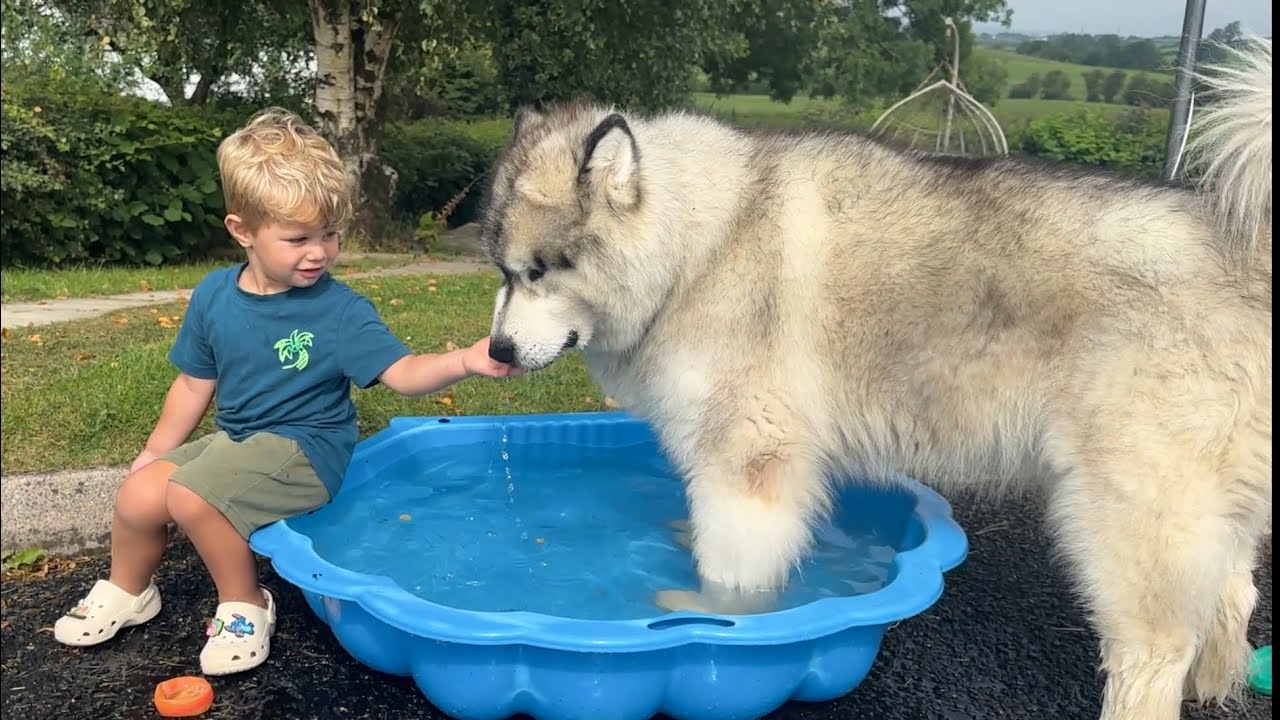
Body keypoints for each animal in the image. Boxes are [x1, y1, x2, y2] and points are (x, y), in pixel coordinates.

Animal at [476, 37, 1272, 720]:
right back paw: (1216, 683)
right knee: (1234, 594)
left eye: (540, 271)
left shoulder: (750, 457)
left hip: (1129, 517)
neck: (697, 248)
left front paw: (715, 619)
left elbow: (732, 574)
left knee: (1154, 652)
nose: (500, 350)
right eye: (501, 271)